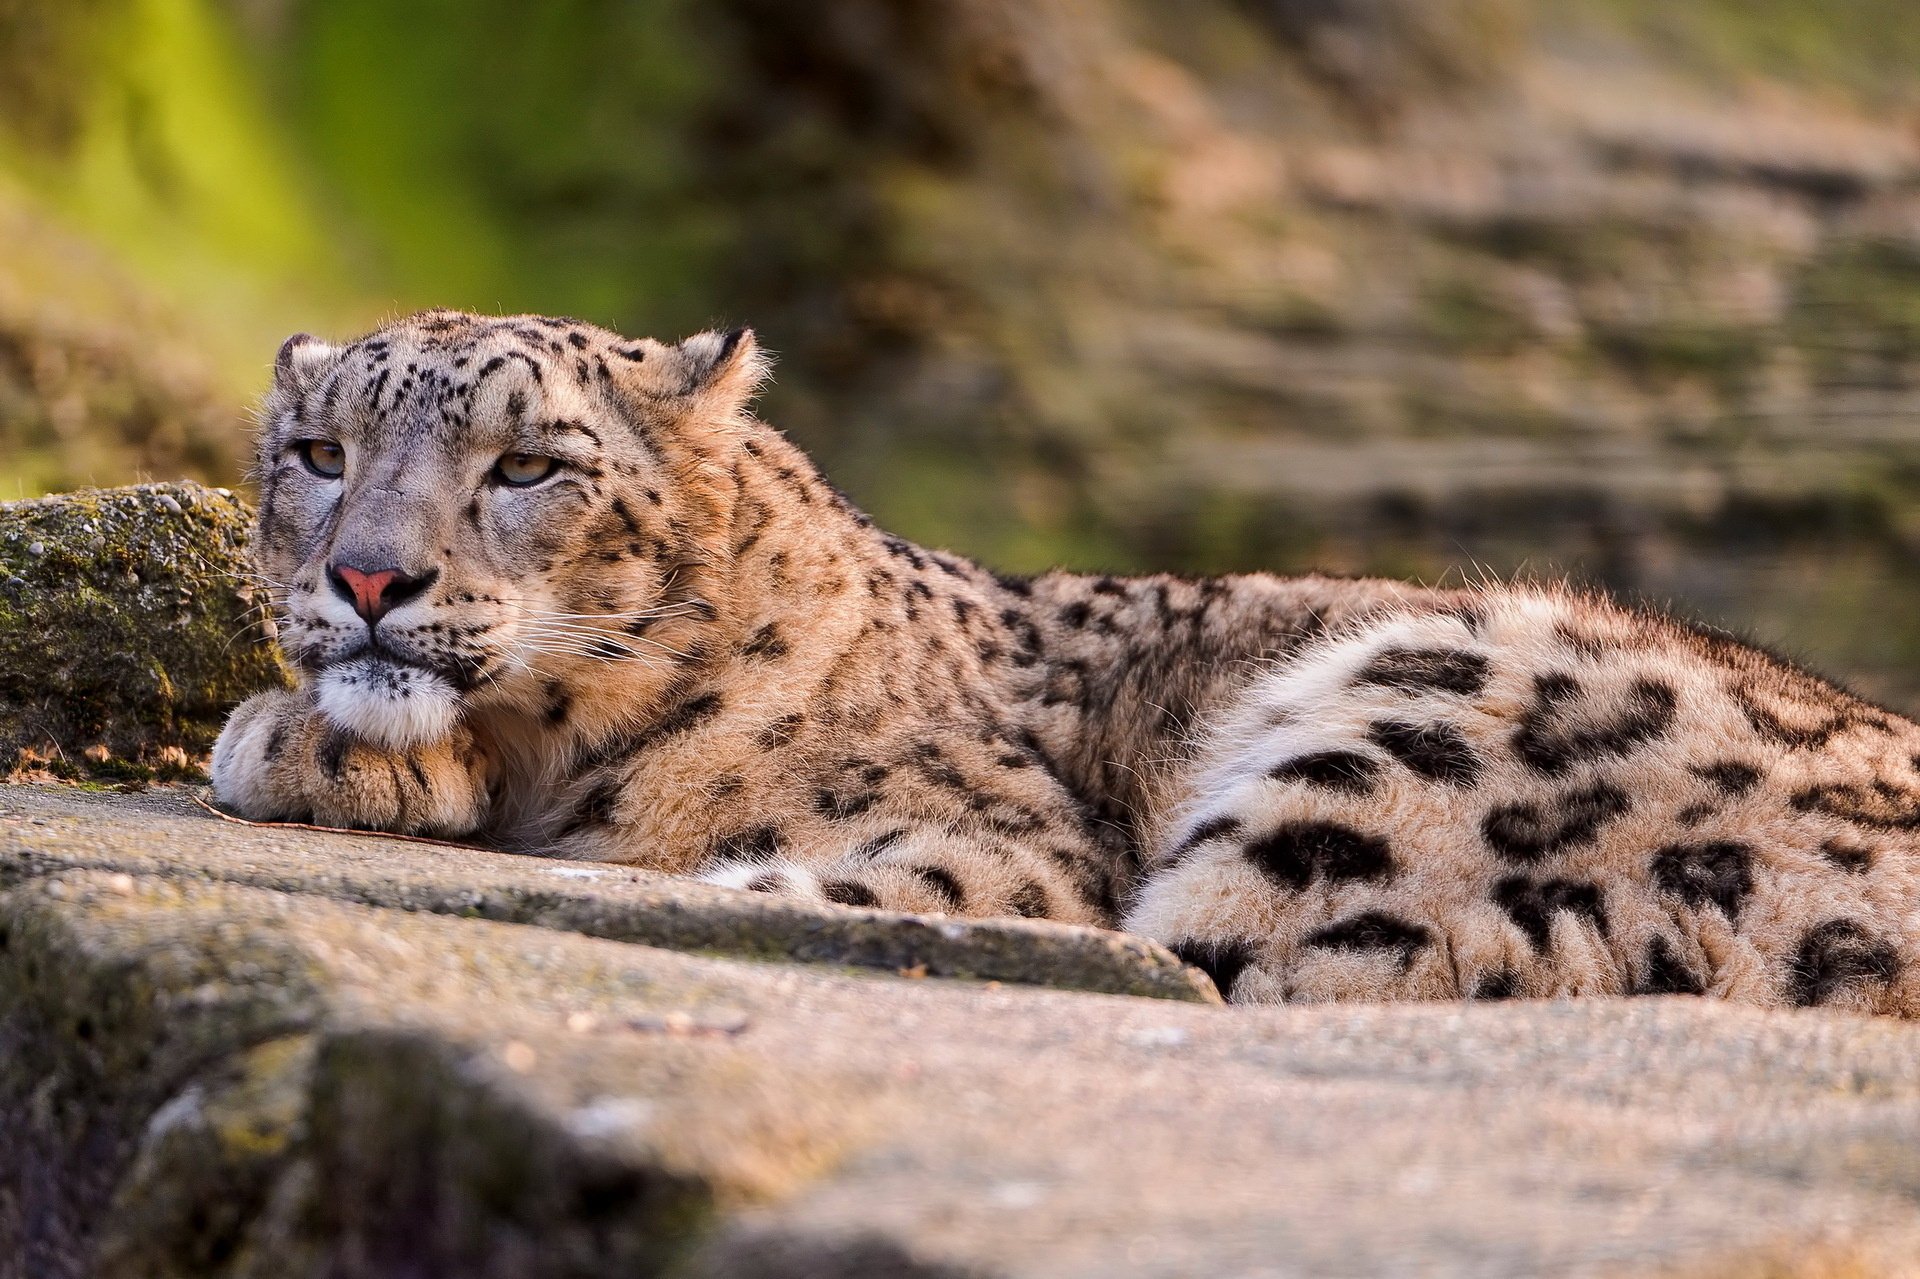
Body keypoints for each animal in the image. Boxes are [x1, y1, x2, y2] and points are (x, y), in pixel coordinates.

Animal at [214, 309, 1920, 1015]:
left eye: (528, 464)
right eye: (318, 451)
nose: (371, 574)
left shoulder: (996, 840)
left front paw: (284, 742)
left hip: (1409, 729)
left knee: (1197, 951)